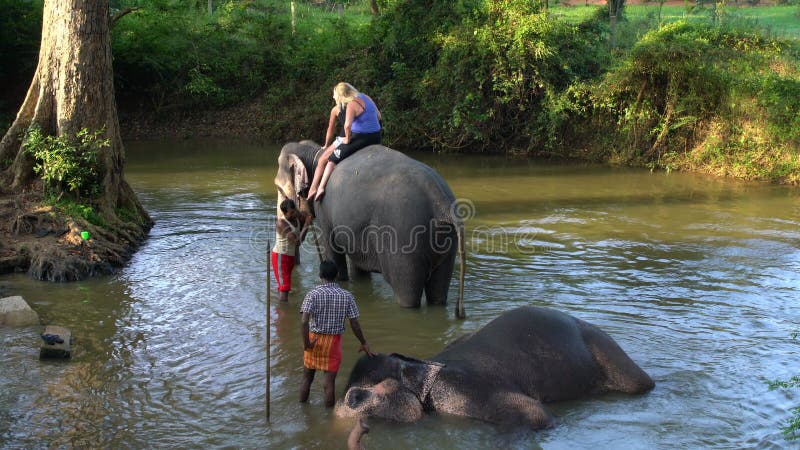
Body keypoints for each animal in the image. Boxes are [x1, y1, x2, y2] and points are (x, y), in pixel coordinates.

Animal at [274, 141, 465, 317]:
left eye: (278, 188)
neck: (316, 153)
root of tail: (440, 200)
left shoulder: (324, 210)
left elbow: (333, 252)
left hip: (404, 238)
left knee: (407, 292)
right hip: (446, 242)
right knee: (439, 290)